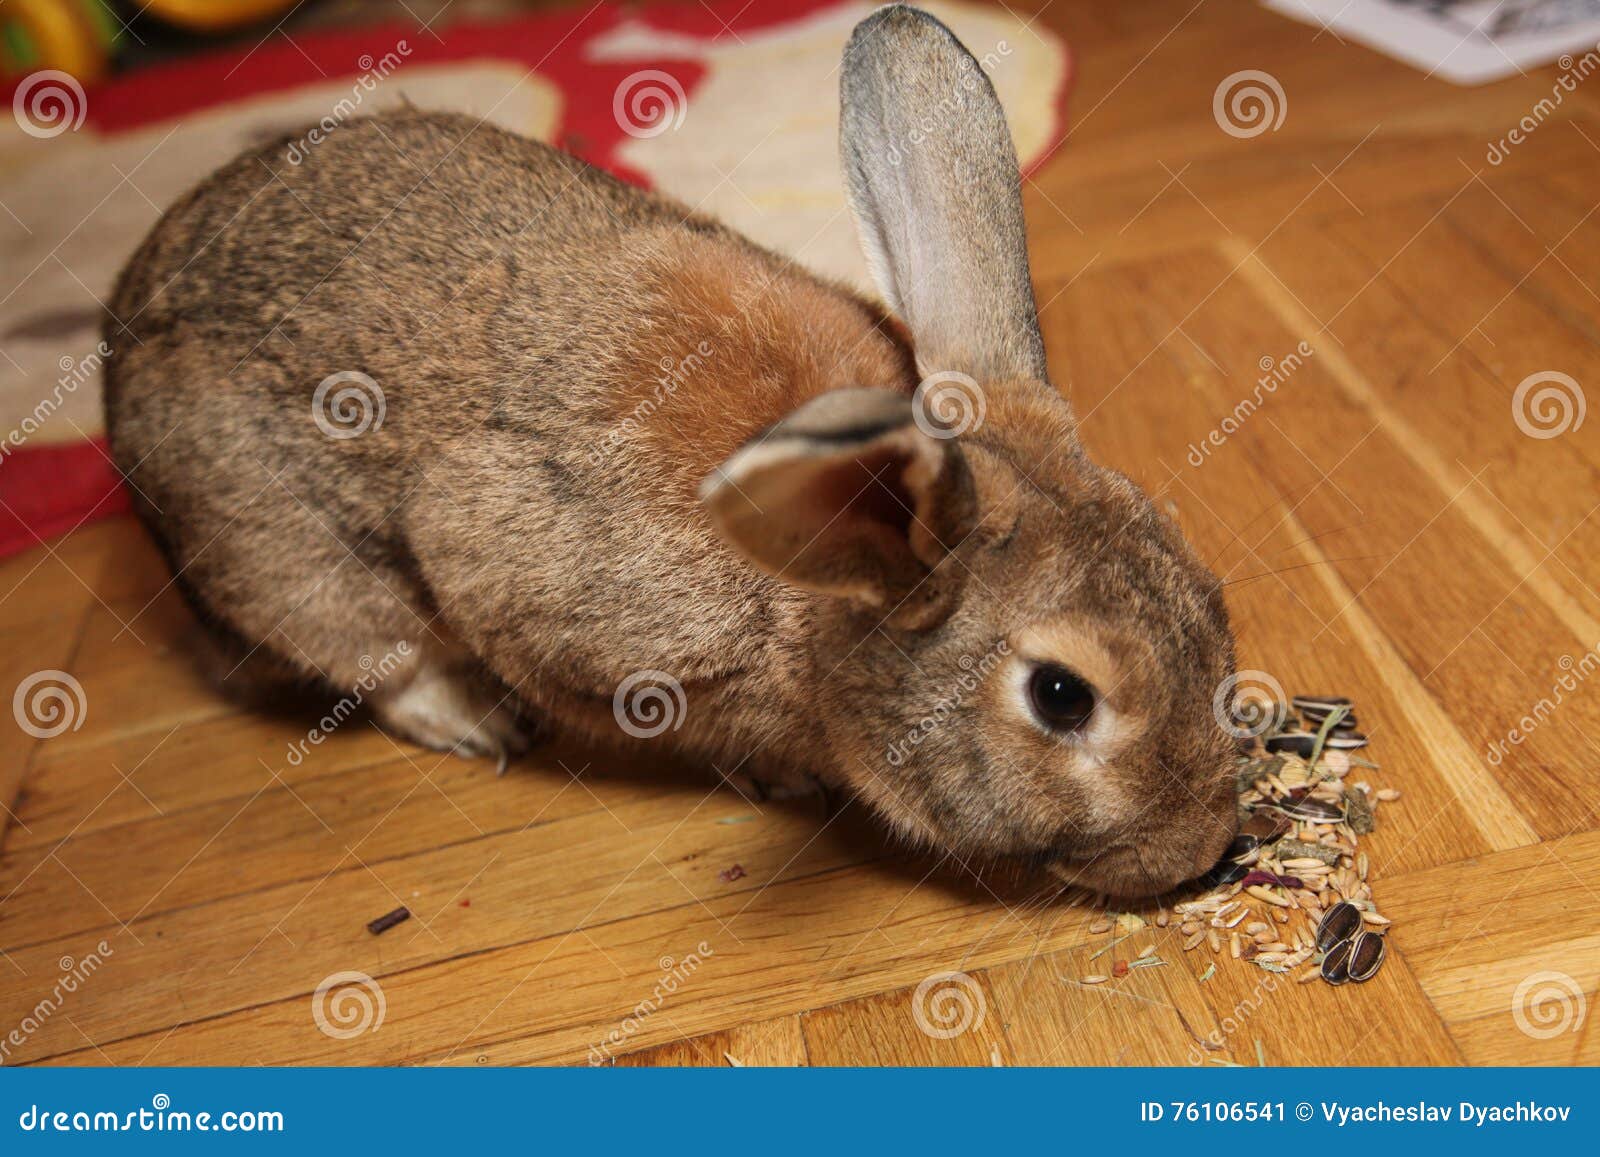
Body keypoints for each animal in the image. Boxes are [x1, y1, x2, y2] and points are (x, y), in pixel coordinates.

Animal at [103, 4, 1237, 897]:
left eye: (1210, 597)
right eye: (1061, 696)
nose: (1198, 850)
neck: (819, 597)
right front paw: (776, 775)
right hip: (280, 548)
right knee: (367, 648)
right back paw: (478, 722)